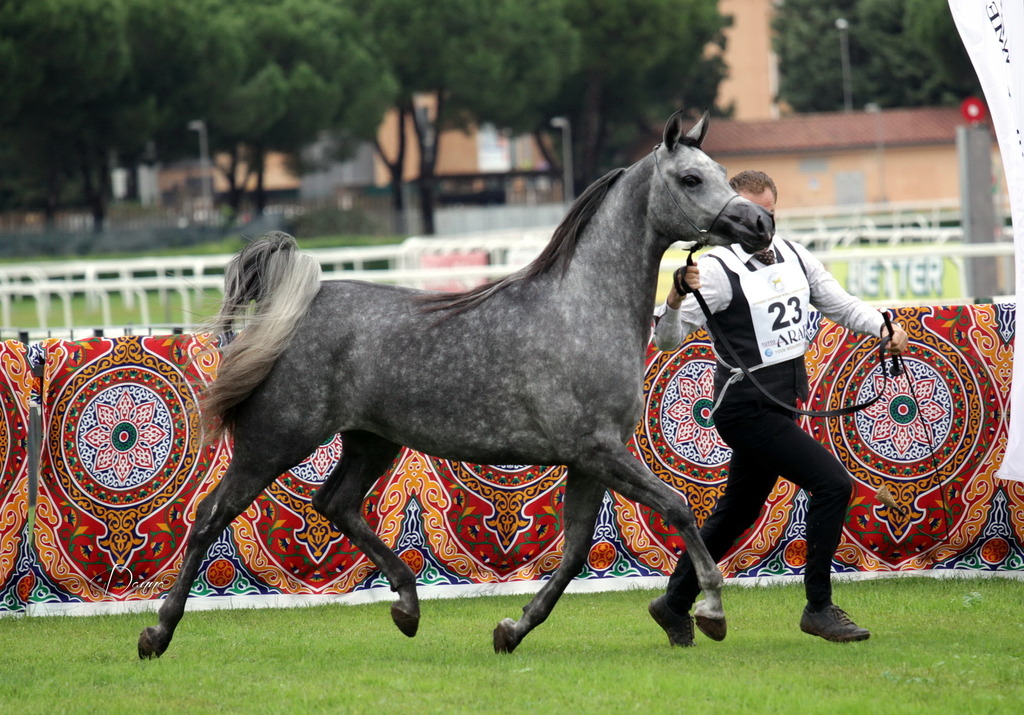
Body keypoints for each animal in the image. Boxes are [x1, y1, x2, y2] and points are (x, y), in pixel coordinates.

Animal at [137, 111, 773, 658]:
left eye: (722, 173)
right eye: (691, 178)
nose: (760, 224)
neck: (583, 309)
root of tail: (294, 310)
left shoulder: (590, 458)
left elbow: (571, 554)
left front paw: (512, 629)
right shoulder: (597, 449)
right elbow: (678, 508)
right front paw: (712, 610)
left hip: (371, 441)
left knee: (335, 503)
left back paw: (407, 605)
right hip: (274, 443)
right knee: (210, 517)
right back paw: (157, 633)